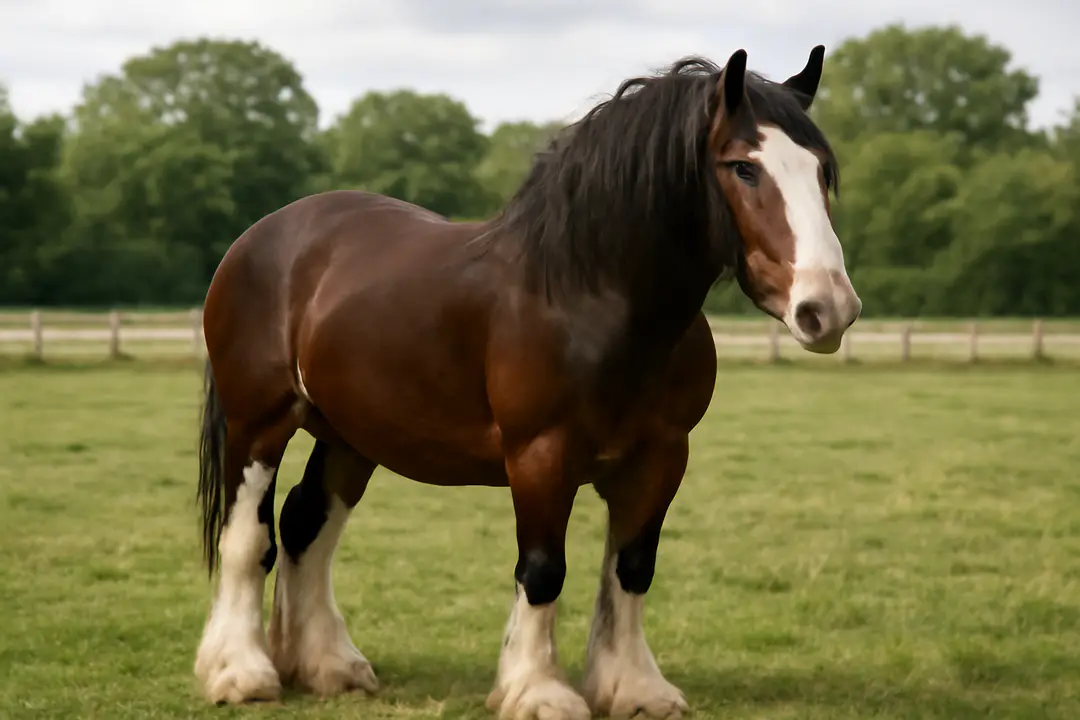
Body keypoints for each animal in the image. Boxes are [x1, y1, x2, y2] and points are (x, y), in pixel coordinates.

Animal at [192, 45, 861, 719]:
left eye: (822, 170)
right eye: (744, 168)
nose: (826, 308)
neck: (594, 300)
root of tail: (263, 236)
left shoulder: (662, 457)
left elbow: (632, 567)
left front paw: (634, 689)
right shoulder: (541, 456)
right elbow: (542, 569)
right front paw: (537, 691)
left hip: (349, 437)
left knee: (306, 525)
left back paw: (329, 666)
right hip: (260, 425)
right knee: (248, 537)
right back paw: (240, 672)